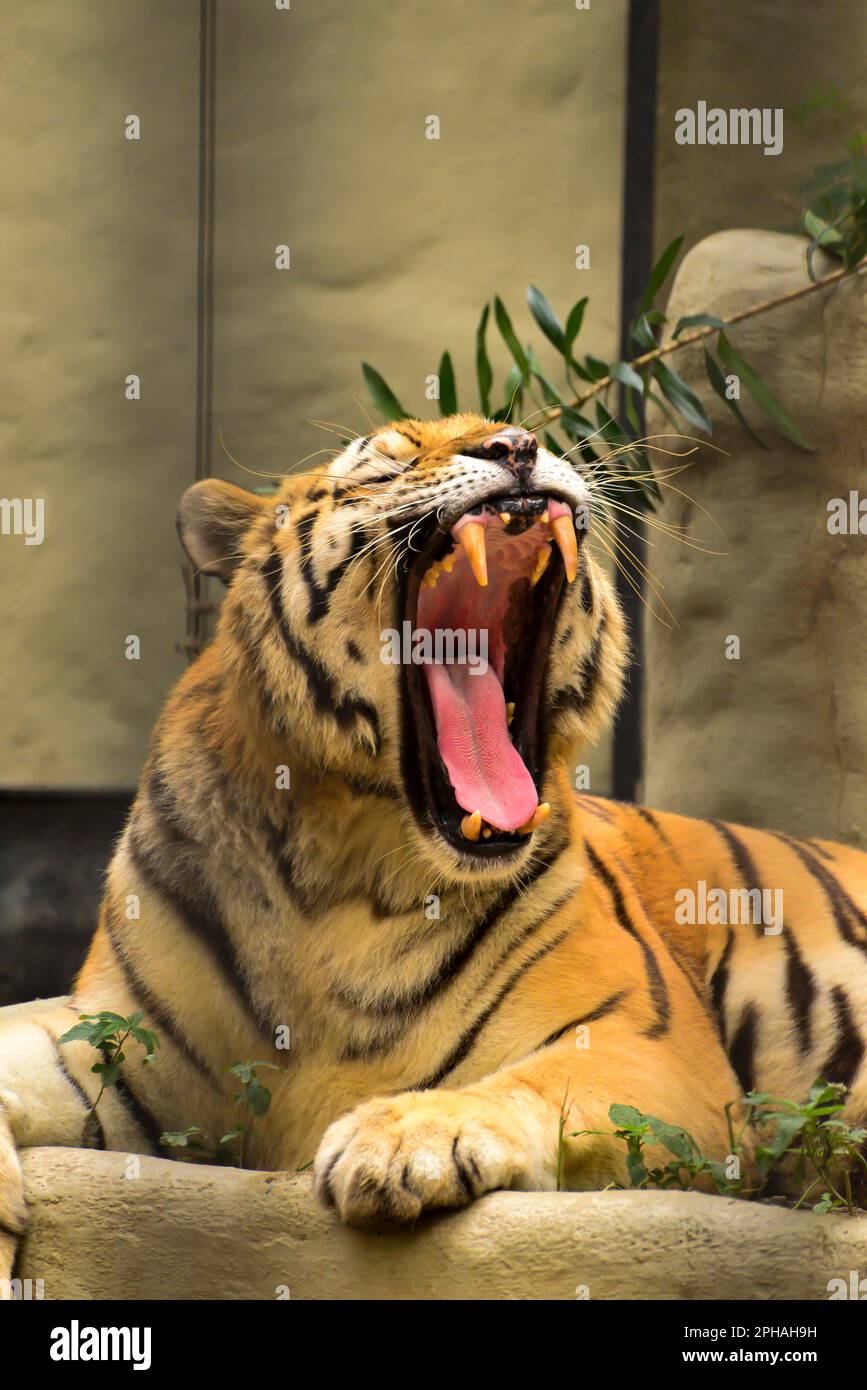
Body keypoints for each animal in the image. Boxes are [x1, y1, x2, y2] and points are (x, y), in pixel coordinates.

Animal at [2, 412, 867, 1285]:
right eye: (386, 462)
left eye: (518, 433)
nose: (516, 446)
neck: (342, 871)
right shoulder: (113, 1035)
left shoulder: (645, 1042)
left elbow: (530, 1085)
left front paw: (402, 1136)